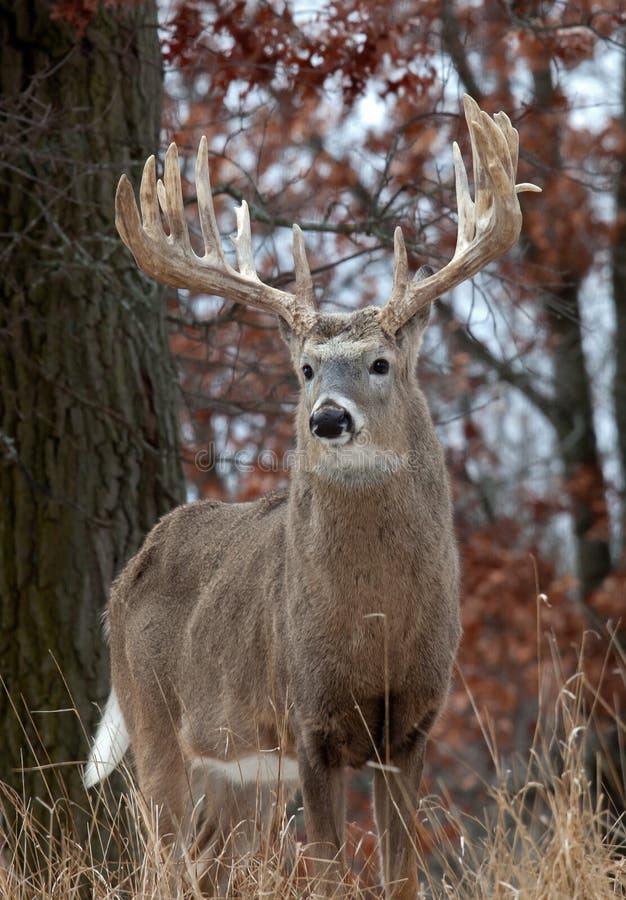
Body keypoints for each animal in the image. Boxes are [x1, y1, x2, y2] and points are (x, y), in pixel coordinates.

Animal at [84, 95, 539, 898]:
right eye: (303, 370)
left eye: (381, 363)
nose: (329, 418)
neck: (375, 631)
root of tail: (129, 572)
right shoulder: (309, 724)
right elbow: (328, 874)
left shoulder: (412, 726)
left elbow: (400, 876)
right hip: (154, 722)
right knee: (160, 858)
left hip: (240, 772)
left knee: (207, 864)